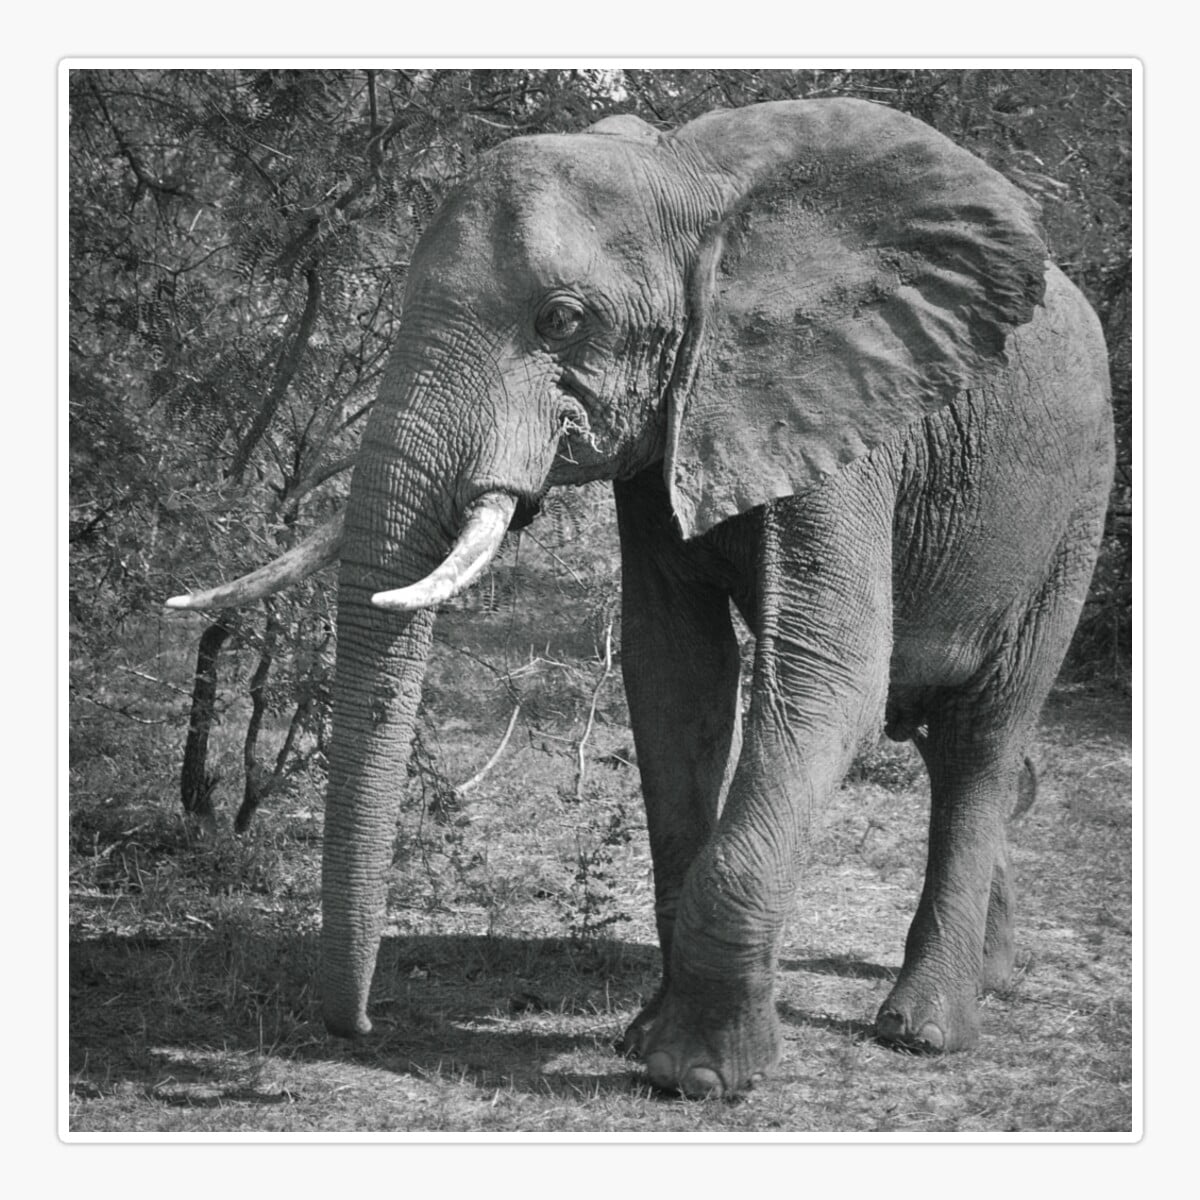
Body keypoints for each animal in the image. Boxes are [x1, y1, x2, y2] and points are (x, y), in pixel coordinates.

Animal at [168, 98, 1114, 1098]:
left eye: (560, 320)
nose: (358, 1027)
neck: (686, 178)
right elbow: (675, 675)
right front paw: (645, 1041)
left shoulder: (842, 416)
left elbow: (830, 680)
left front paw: (696, 1076)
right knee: (945, 736)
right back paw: (991, 975)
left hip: (1073, 512)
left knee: (981, 735)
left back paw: (924, 1032)